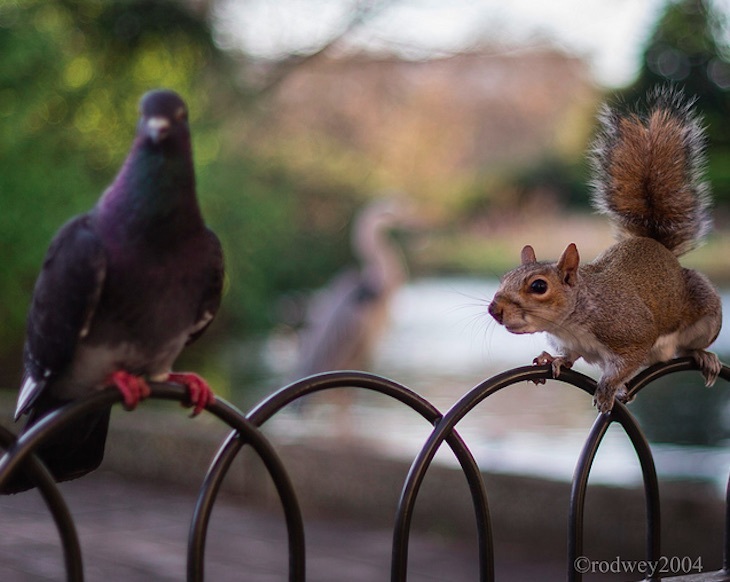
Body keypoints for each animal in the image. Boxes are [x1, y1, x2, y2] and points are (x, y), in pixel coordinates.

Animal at [487, 86, 723, 413]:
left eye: (538, 286)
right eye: (504, 279)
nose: (494, 309)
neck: (573, 320)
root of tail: (659, 247)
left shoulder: (632, 333)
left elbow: (625, 363)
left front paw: (607, 390)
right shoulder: (571, 343)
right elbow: (569, 356)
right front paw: (553, 359)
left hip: (706, 313)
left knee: (690, 346)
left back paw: (704, 356)